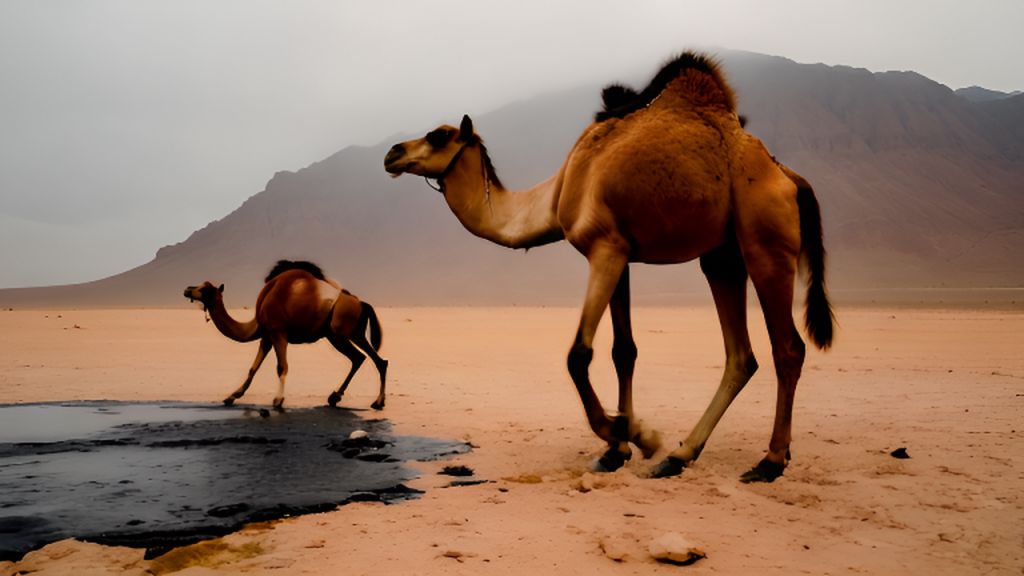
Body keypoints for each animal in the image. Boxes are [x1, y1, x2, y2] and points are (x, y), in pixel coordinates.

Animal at [184, 260, 388, 410]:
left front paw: (278, 400)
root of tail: (361, 303)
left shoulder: (278, 332)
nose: (187, 289)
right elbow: (253, 368)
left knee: (368, 359)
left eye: (204, 289)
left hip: (342, 333)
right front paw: (231, 397)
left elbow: (282, 366)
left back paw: (373, 402)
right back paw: (341, 398)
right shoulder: (267, 336)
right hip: (346, 334)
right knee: (367, 359)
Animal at [383, 52, 834, 482]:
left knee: (788, 348)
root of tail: (788, 176)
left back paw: (769, 461)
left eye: (438, 135)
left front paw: (631, 433)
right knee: (741, 355)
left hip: (765, 243)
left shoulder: (604, 249)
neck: (558, 190)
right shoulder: (623, 255)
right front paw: (616, 451)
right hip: (722, 256)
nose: (392, 153)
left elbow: (578, 354)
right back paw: (679, 456)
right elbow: (624, 351)